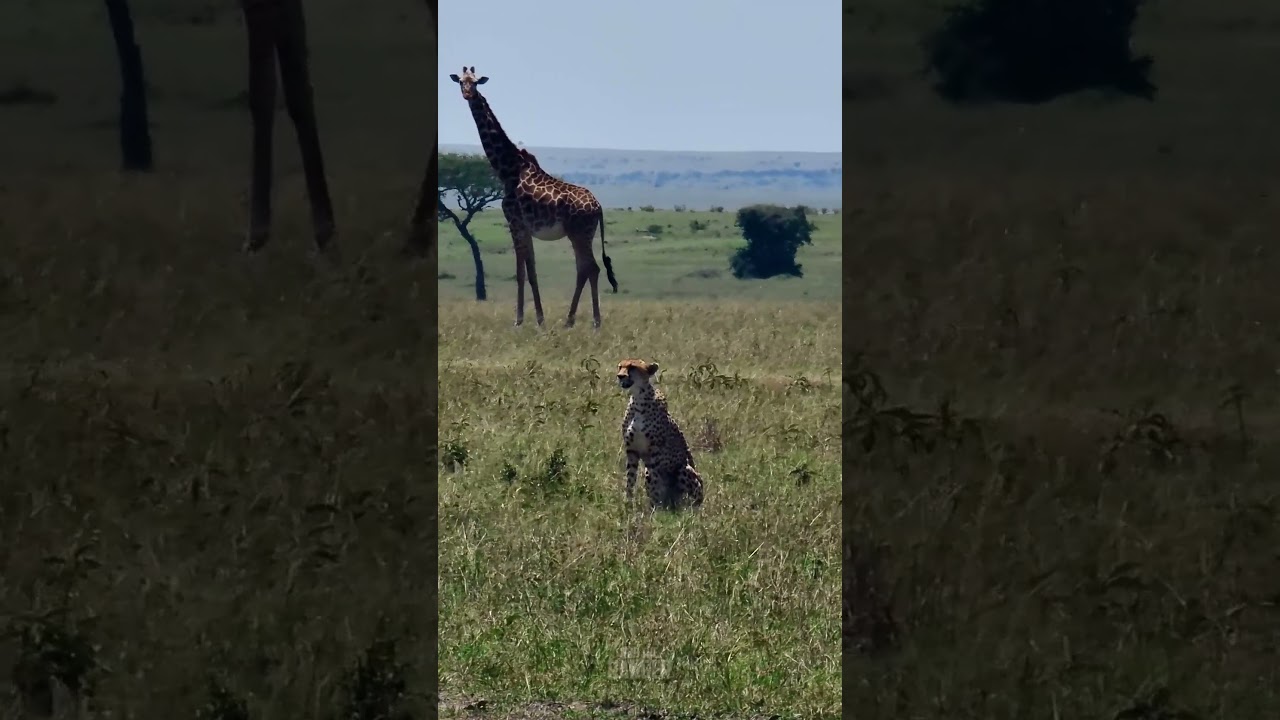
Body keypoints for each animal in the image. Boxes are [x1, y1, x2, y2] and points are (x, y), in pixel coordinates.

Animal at [448, 66, 618, 328]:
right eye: (461, 82)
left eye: (475, 82)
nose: (467, 94)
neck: (508, 168)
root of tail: (598, 207)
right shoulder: (526, 228)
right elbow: (532, 271)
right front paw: (539, 319)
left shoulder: (514, 222)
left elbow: (520, 273)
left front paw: (518, 320)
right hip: (582, 234)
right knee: (586, 268)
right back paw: (572, 321)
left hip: (579, 233)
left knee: (591, 268)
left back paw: (591, 322)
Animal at [616, 358, 704, 510]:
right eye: (620, 366)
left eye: (632, 367)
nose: (620, 376)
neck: (638, 399)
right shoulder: (631, 450)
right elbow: (630, 479)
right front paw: (628, 503)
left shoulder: (655, 450)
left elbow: (654, 479)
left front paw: (655, 508)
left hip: (684, 469)